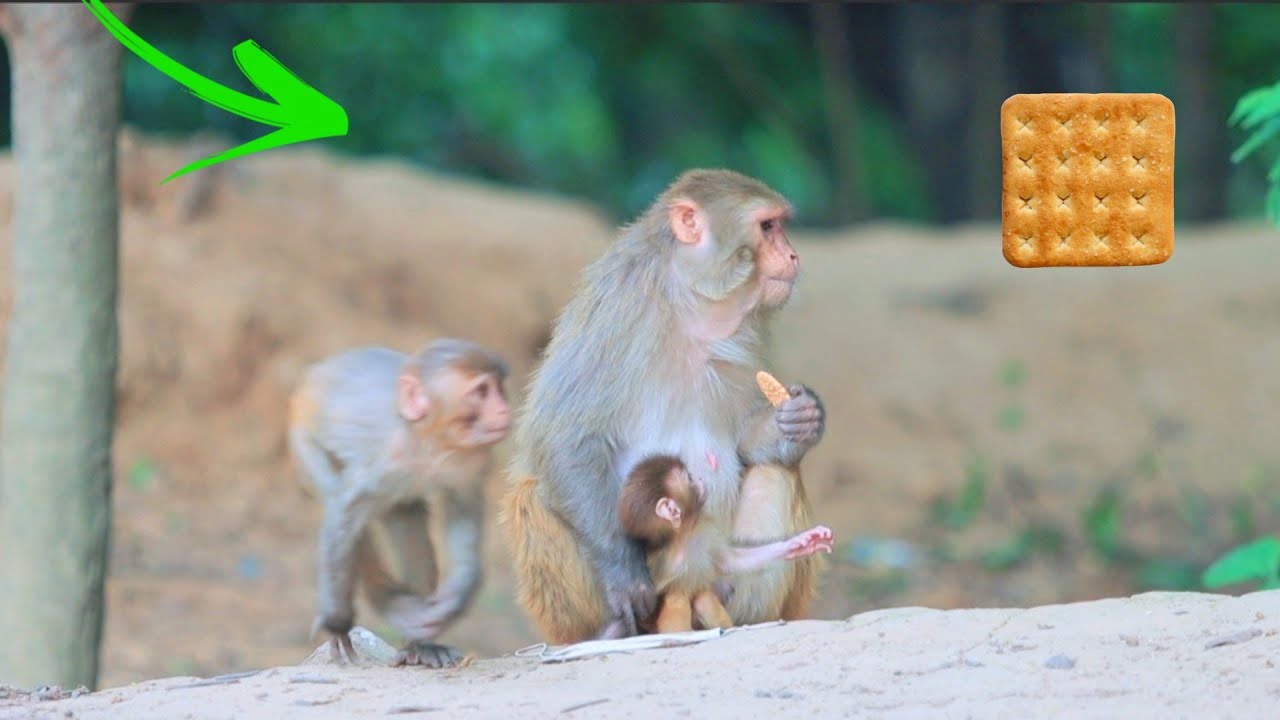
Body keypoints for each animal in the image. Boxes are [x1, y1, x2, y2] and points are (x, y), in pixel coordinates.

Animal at [288, 338, 511, 668]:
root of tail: (313, 374)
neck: (429, 440)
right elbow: (346, 511)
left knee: (409, 524)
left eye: (498, 386)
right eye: (482, 391)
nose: (503, 409)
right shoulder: (383, 457)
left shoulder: (471, 461)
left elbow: (462, 512)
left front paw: (456, 597)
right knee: (339, 505)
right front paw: (337, 623)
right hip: (304, 443)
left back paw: (420, 645)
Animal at [618, 454, 834, 634]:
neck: (685, 538)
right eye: (689, 478)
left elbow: (730, 562)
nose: (699, 479)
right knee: (677, 598)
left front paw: (800, 543)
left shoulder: (706, 530)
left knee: (702, 599)